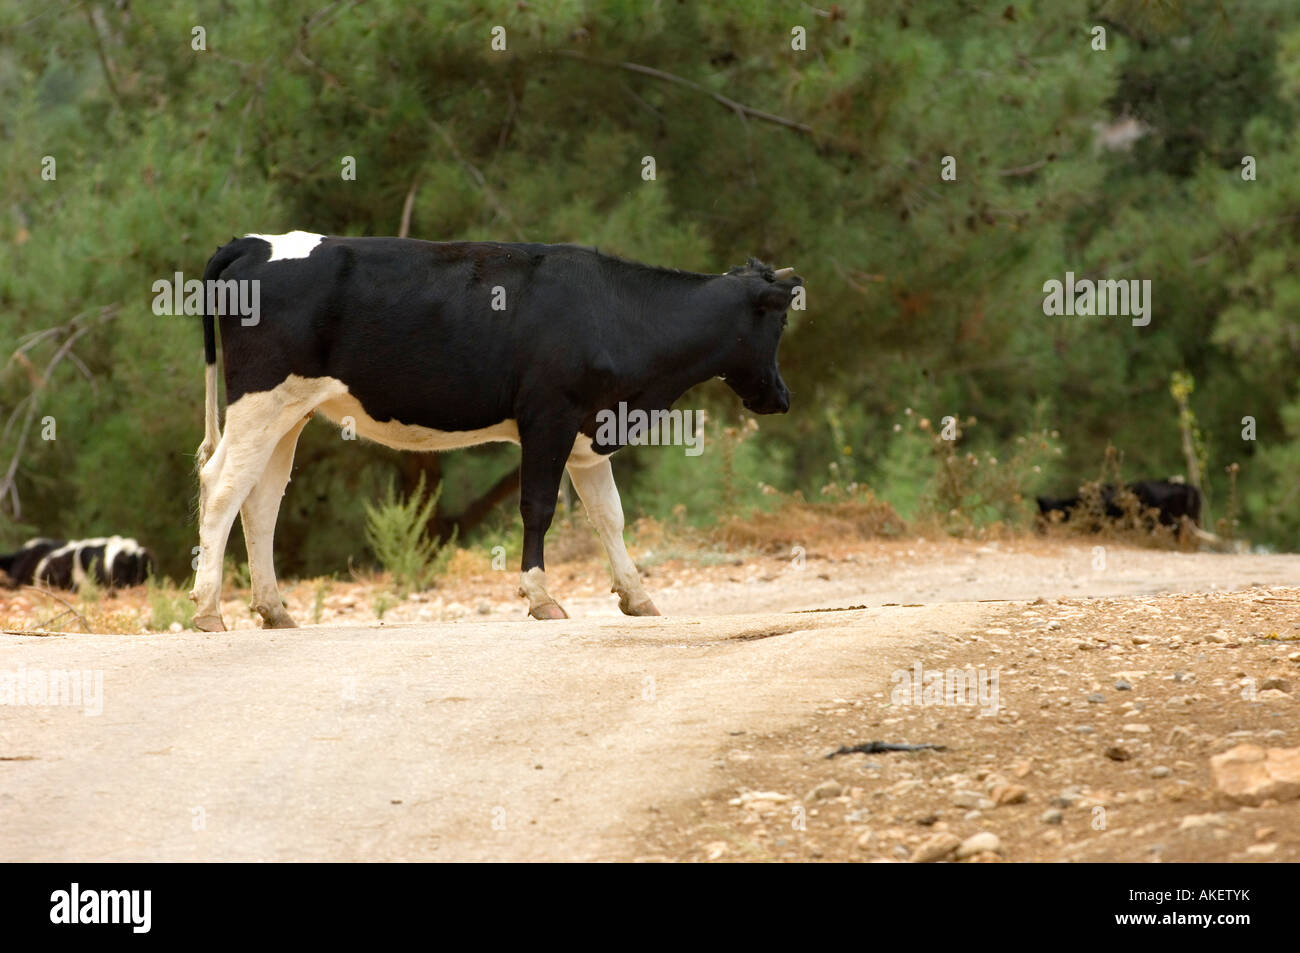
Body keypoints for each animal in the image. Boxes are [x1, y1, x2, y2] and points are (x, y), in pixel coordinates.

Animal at [190, 232, 800, 631]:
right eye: (780, 321)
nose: (781, 397)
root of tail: (252, 242)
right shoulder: (549, 417)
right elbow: (538, 507)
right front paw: (540, 597)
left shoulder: (589, 434)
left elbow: (610, 516)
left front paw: (637, 596)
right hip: (261, 402)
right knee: (221, 487)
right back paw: (208, 610)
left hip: (288, 413)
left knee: (260, 500)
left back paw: (274, 610)